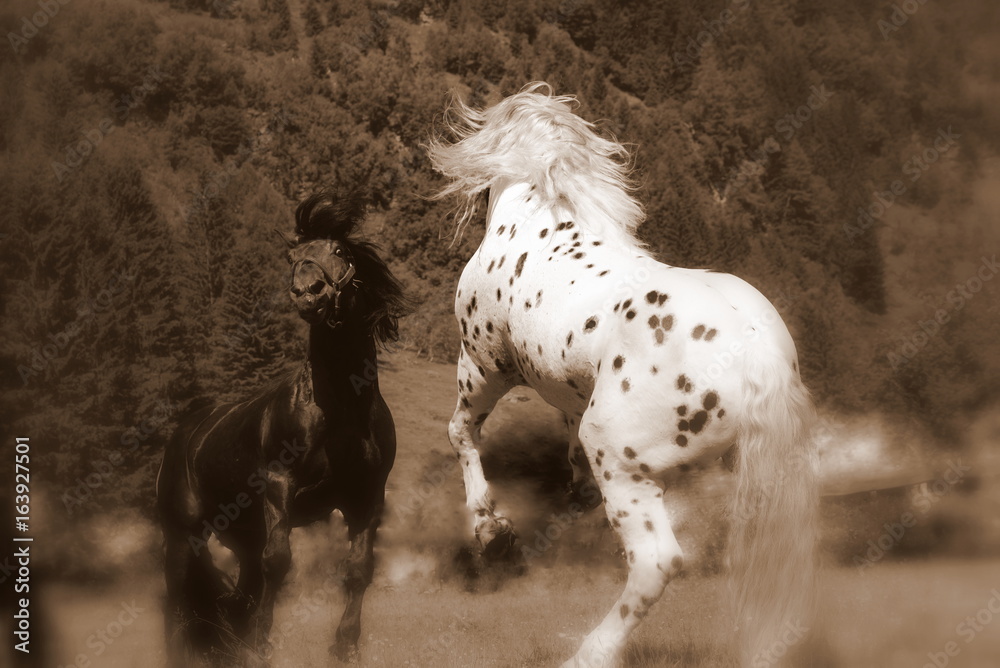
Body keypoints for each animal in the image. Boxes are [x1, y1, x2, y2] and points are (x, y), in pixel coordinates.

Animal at [156, 192, 411, 666]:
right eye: (292, 258)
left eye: (340, 251)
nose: (308, 293)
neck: (341, 408)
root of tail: (185, 434)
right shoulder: (279, 484)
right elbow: (279, 562)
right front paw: (262, 645)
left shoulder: (367, 496)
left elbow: (358, 570)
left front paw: (344, 645)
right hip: (183, 534)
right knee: (178, 599)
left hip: (240, 533)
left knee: (238, 591)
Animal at [427, 83, 819, 667]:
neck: (541, 221)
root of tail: (757, 353)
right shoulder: (568, 394)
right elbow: (565, 443)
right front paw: (564, 494)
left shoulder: (482, 365)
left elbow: (462, 433)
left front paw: (490, 528)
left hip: (620, 456)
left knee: (657, 562)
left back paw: (587, 653)